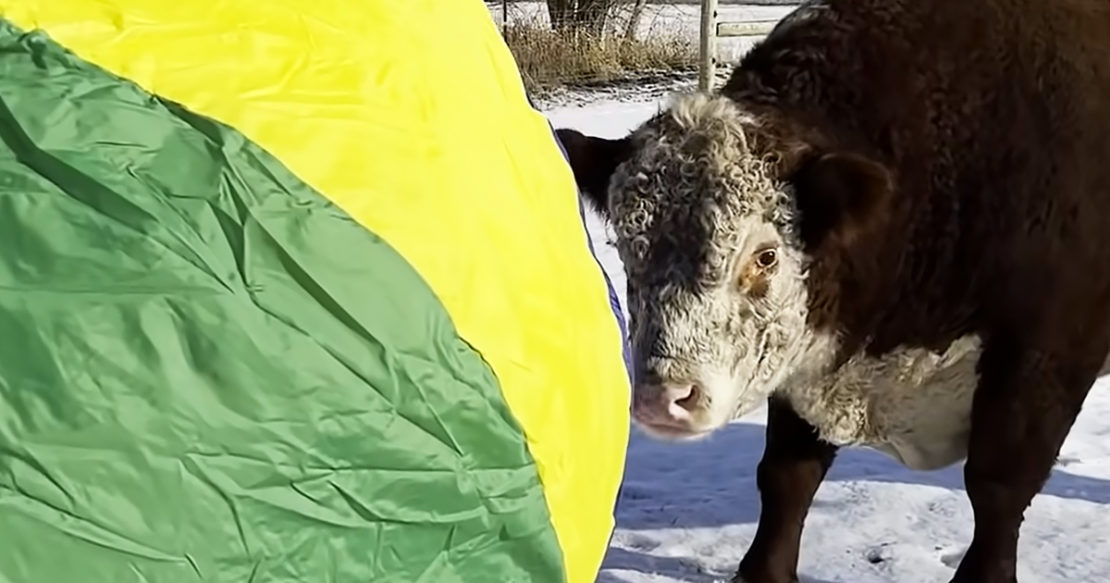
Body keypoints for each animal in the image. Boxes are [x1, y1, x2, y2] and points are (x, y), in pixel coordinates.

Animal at [553, 0, 1110, 581]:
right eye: (624, 245)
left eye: (766, 256)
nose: (665, 397)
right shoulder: (807, 356)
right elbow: (787, 475)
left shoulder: (1047, 353)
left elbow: (998, 486)